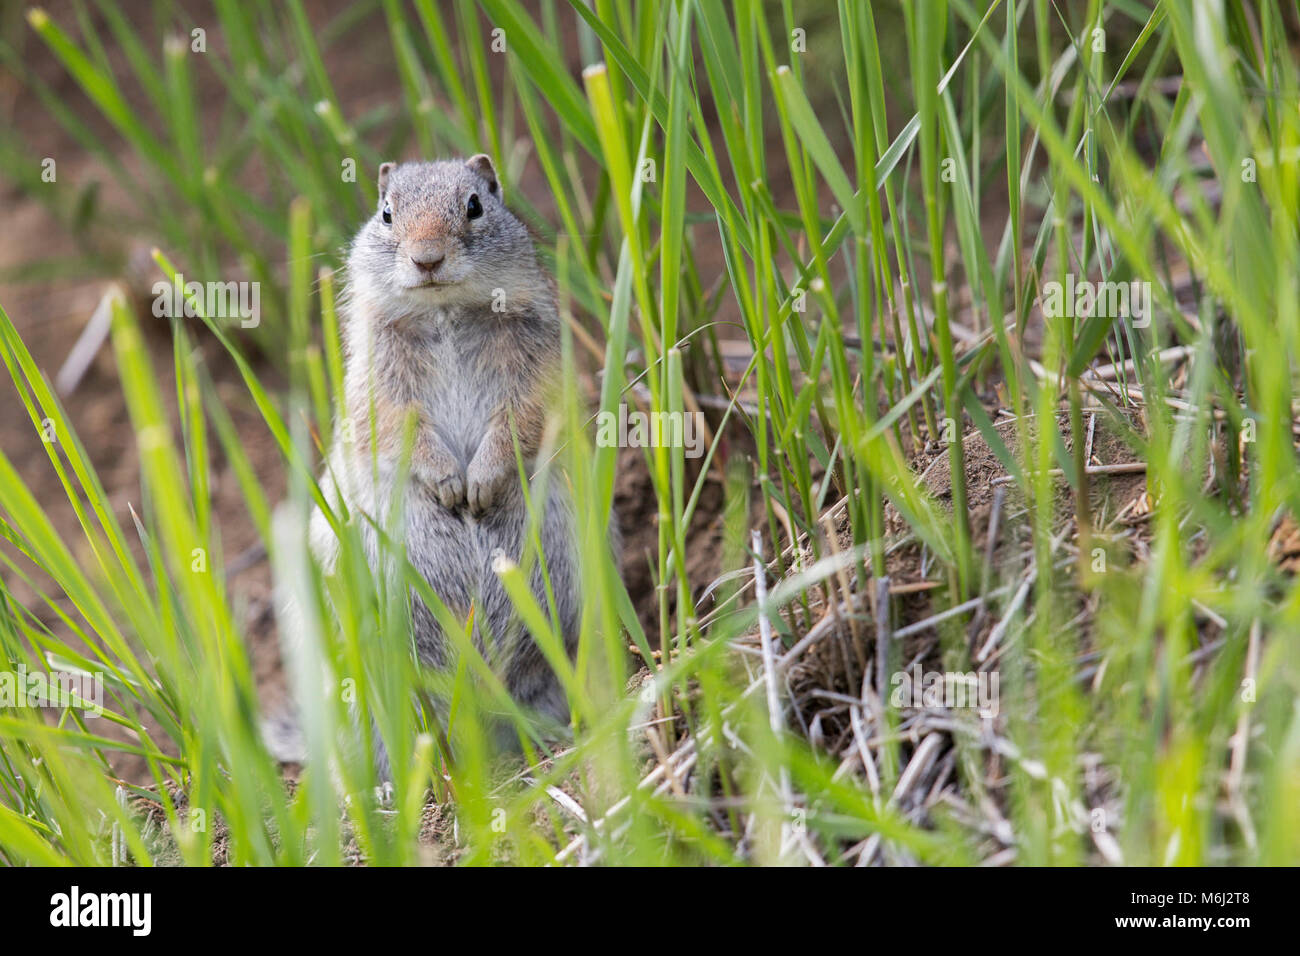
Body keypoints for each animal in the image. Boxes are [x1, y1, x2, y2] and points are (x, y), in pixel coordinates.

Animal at [278, 156, 587, 771]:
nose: (427, 258)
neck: (444, 310)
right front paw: (449, 485)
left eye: (475, 204)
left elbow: (521, 418)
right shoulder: (377, 384)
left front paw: (482, 483)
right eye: (386, 212)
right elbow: (398, 428)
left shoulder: (537, 369)